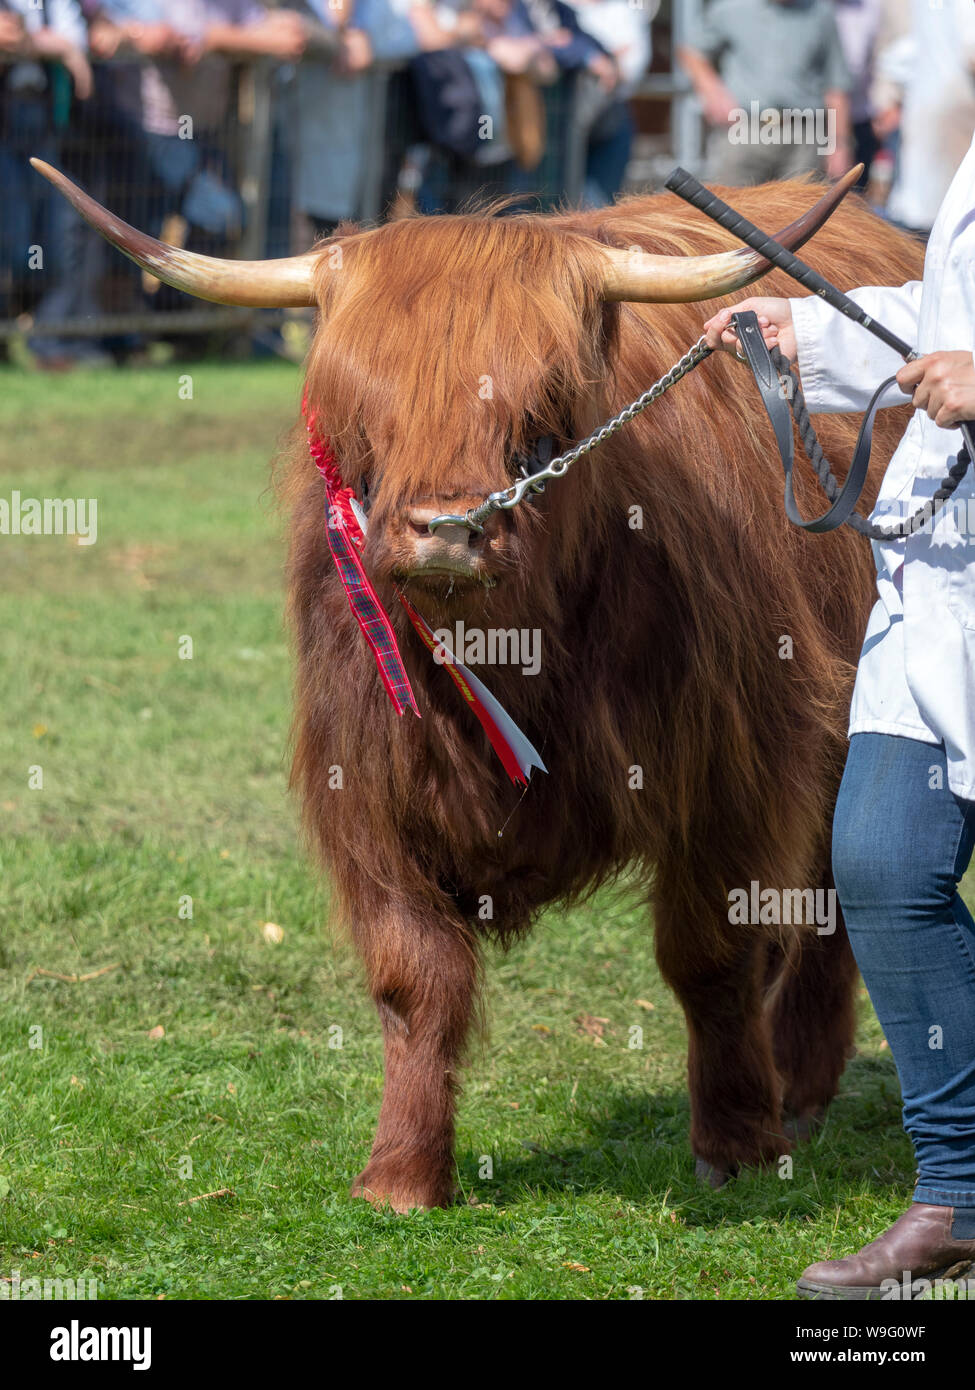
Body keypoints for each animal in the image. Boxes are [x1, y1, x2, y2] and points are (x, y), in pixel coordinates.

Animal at [35, 159, 923, 1212]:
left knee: (833, 898)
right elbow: (412, 979)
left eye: (542, 415)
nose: (447, 530)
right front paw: (399, 1174)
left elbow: (713, 956)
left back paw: (804, 1088)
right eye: (363, 415)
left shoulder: (733, 769)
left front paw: (739, 1145)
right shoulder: (370, 788)